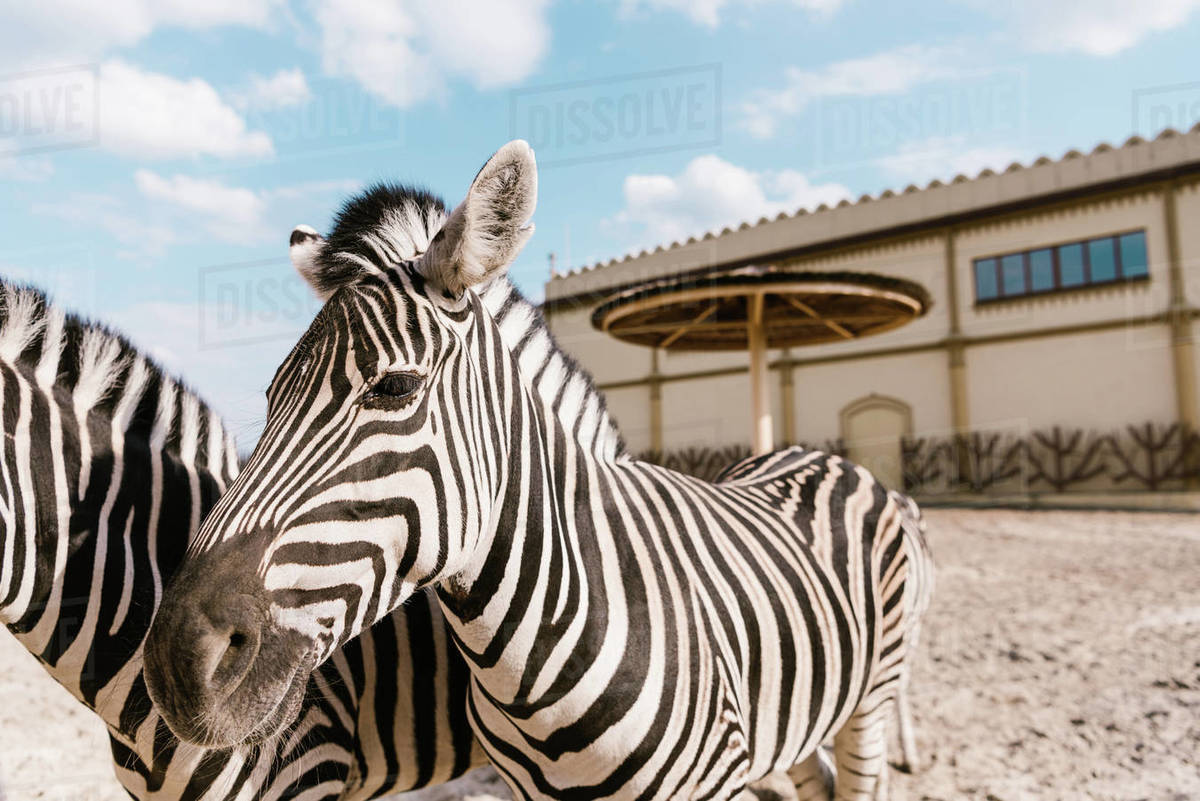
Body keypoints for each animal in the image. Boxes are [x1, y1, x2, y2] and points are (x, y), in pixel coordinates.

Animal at [143, 141, 935, 800]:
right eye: (271, 397)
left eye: (394, 387)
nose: (177, 664)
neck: (530, 664)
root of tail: (824, 457)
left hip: (870, 699)